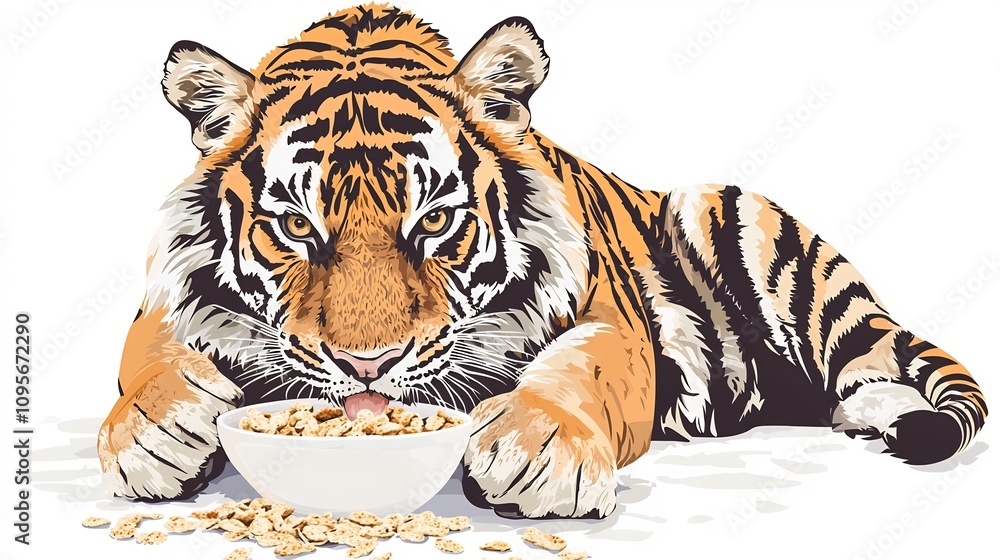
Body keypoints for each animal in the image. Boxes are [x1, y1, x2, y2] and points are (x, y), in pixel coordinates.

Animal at [97, 3, 986, 519]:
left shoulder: (608, 317)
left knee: (864, 359)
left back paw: (880, 414)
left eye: (435, 220)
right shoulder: (164, 300)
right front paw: (155, 432)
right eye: (294, 226)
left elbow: (576, 369)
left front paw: (537, 452)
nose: (368, 366)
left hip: (731, 218)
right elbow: (150, 359)